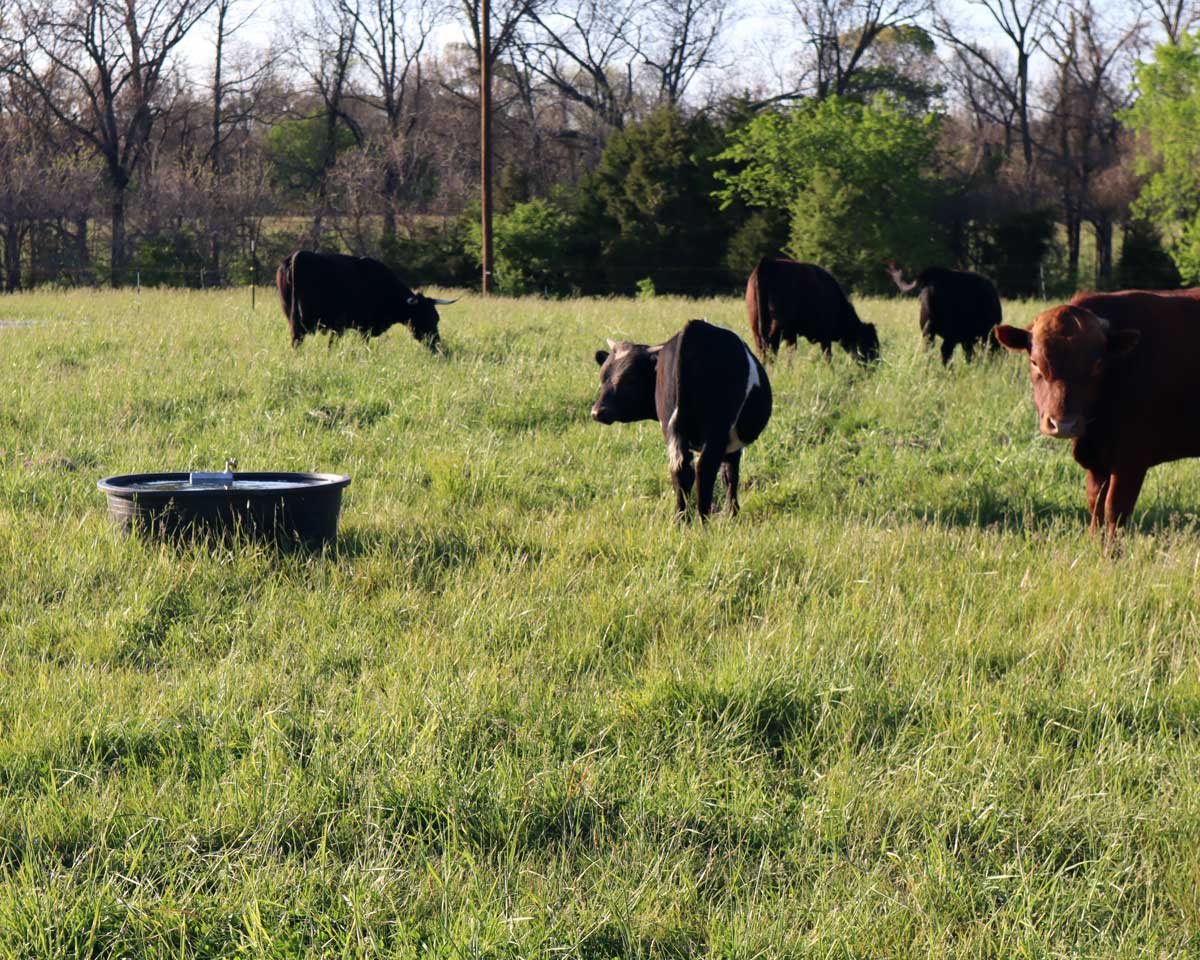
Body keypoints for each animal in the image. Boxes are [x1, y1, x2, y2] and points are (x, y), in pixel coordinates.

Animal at [591, 319, 772, 519]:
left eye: (629, 379)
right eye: (602, 379)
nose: (597, 412)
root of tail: (693, 329)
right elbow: (730, 475)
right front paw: (732, 513)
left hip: (675, 429)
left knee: (681, 470)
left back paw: (681, 518)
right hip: (716, 430)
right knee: (705, 470)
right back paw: (703, 519)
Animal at [746, 257, 879, 364]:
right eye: (870, 345)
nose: (875, 366)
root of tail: (766, 263)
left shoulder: (792, 335)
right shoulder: (824, 335)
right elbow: (827, 356)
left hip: (755, 327)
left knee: (762, 351)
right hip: (777, 329)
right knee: (771, 350)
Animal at [994, 289, 1200, 536]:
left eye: (1096, 364)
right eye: (1035, 362)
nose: (1063, 424)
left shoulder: (1132, 457)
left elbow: (1115, 509)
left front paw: (1112, 547)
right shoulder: (1097, 460)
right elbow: (1096, 506)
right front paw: (1092, 542)